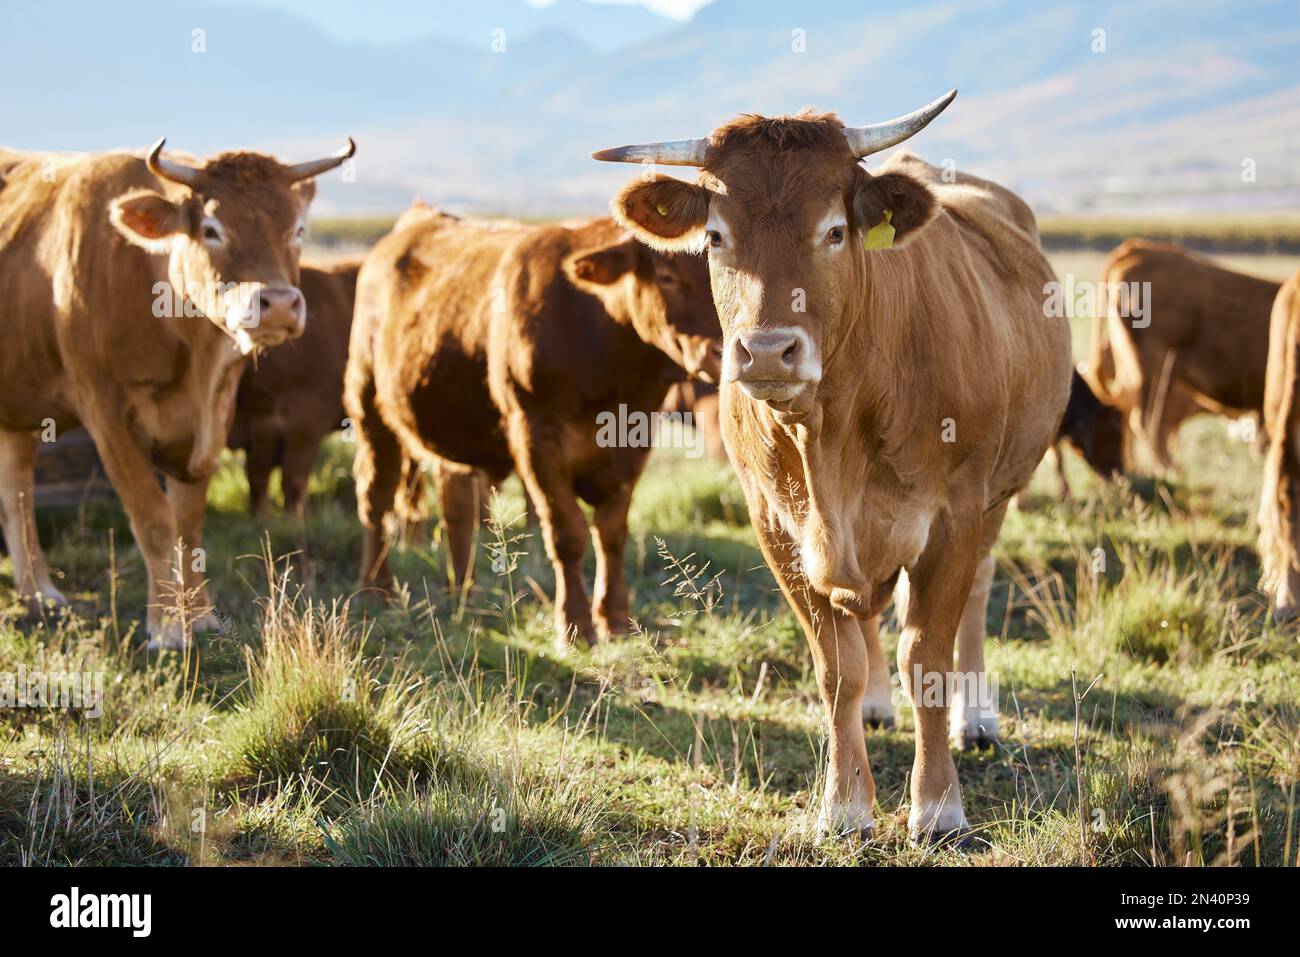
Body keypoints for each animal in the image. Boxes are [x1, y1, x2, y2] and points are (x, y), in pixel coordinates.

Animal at [228, 257, 361, 515]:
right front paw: (259, 517)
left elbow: (293, 480)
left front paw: (292, 519)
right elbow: (257, 477)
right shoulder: (261, 428)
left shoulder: (307, 419)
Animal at [345, 208, 722, 644]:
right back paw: (377, 588)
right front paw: (575, 624)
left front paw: (615, 620)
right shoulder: (536, 439)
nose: (721, 351)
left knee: (456, 508)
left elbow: (611, 533)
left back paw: (464, 594)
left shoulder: (633, 444)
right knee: (376, 498)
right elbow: (567, 533)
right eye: (666, 275)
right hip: (370, 407)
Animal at [593, 91, 1072, 843]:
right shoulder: (778, 527)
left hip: (998, 499)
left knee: (975, 596)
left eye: (835, 232)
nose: (766, 351)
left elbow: (927, 657)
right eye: (717, 237)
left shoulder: (955, 516)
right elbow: (836, 668)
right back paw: (877, 706)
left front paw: (938, 806)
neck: (832, 434)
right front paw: (845, 805)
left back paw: (976, 719)